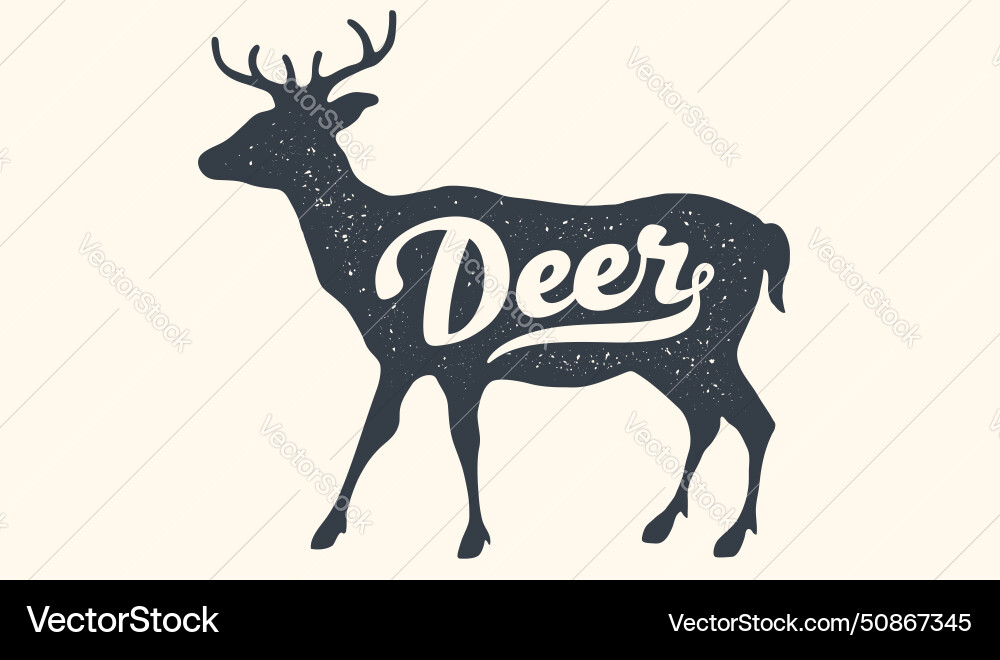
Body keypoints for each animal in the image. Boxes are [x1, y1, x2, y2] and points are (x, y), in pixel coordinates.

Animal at [199, 10, 790, 559]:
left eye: (292, 130)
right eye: (256, 117)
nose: (207, 157)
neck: (373, 267)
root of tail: (766, 235)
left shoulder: (460, 358)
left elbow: (460, 439)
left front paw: (471, 537)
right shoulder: (403, 357)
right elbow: (378, 431)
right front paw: (330, 529)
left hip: (701, 343)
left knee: (752, 420)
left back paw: (731, 535)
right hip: (676, 355)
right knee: (713, 419)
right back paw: (668, 523)